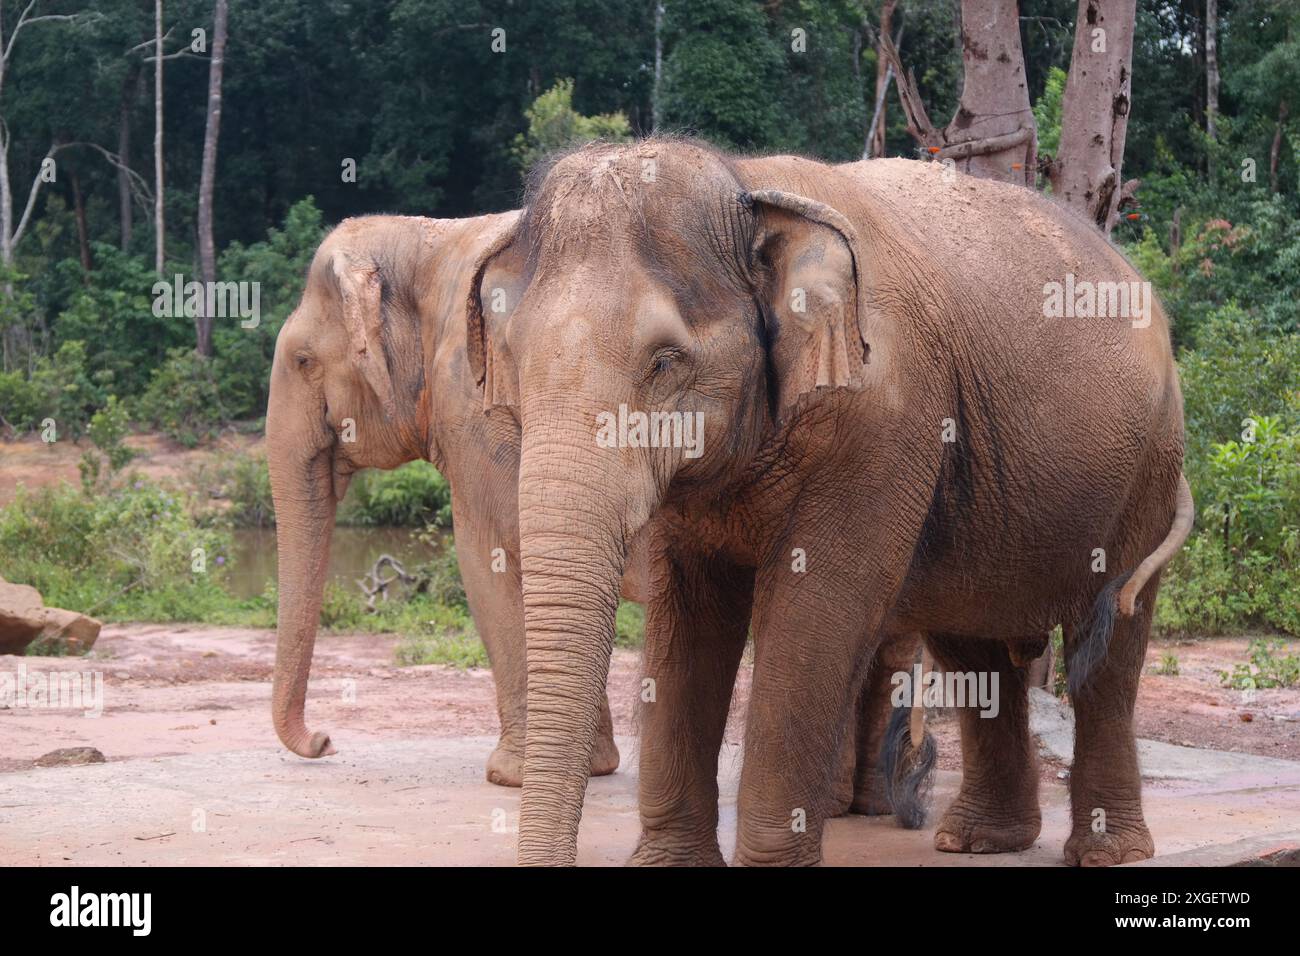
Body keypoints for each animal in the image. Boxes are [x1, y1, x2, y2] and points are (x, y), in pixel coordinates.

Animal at [463, 137, 1192, 866]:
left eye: (664, 361)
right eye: (514, 360)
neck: (748, 186)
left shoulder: (882, 421)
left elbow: (814, 614)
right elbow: (687, 615)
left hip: (1151, 465)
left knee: (1109, 647)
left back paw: (1106, 852)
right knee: (973, 646)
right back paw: (978, 839)